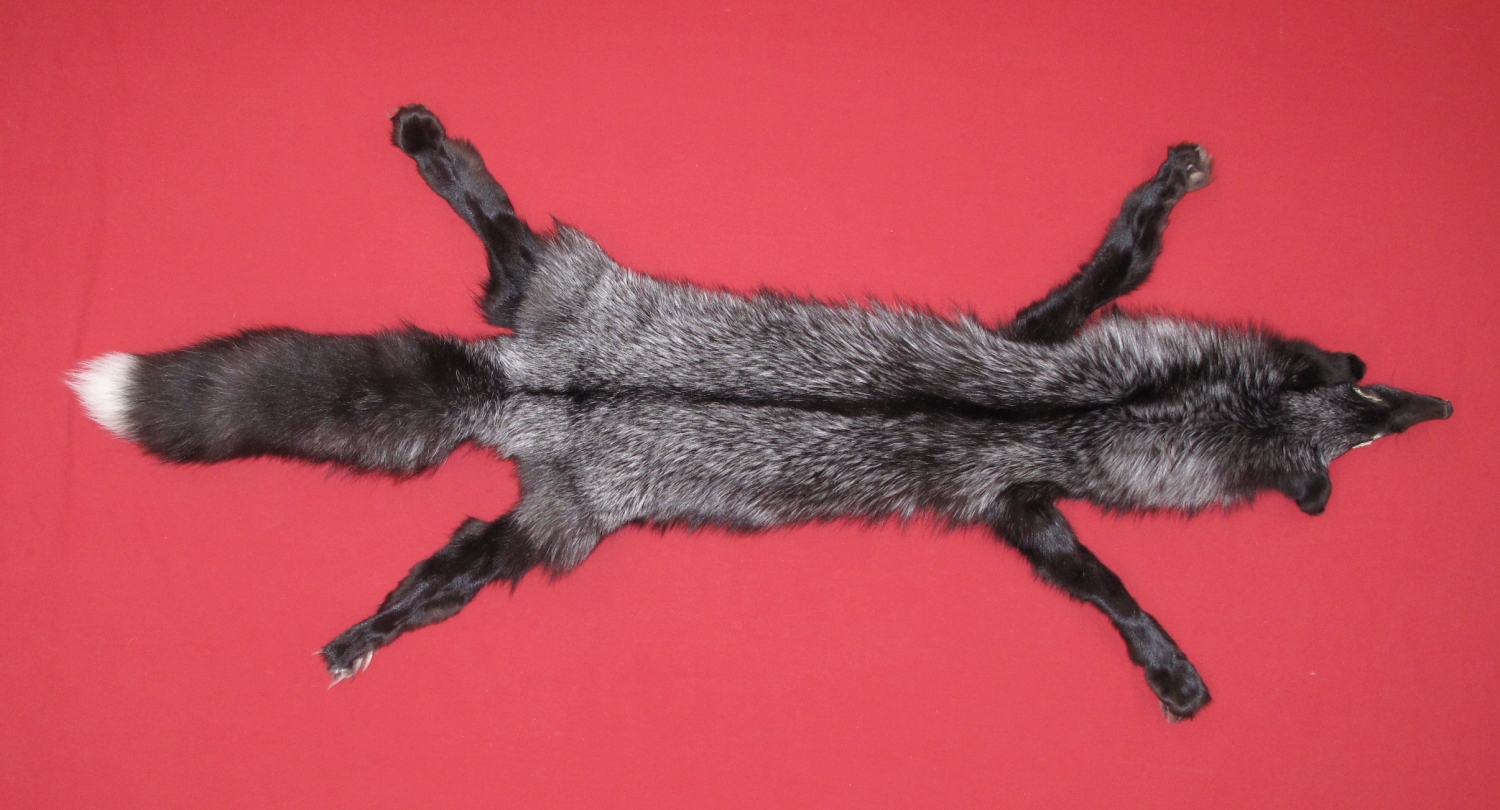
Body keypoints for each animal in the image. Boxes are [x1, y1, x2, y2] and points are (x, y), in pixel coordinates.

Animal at [68, 106, 1452, 720]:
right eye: (1370, 418)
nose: (1424, 400)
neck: (1106, 403)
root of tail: (517, 389)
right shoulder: (1025, 487)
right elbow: (1107, 581)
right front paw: (1165, 662)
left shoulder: (1044, 351)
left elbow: (1119, 256)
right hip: (548, 529)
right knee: (439, 578)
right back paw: (367, 633)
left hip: (548, 321)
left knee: (501, 248)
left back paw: (431, 144)